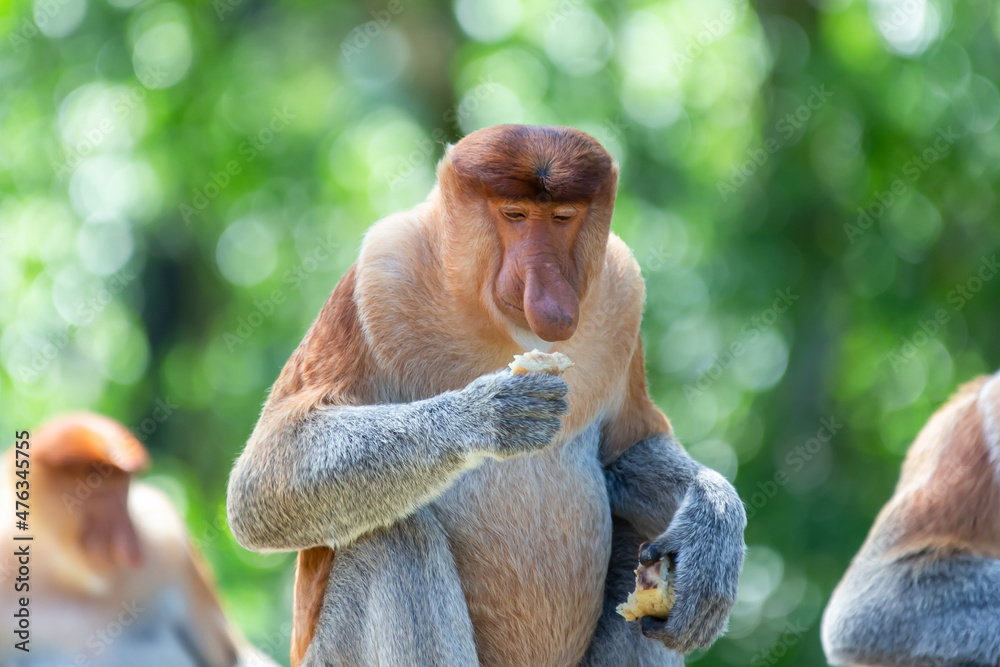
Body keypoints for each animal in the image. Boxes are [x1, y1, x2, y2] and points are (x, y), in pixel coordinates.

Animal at [0, 412, 278, 667]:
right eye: (95, 485)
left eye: (123, 484)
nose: (129, 545)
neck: (72, 579)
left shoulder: (167, 533)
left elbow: (233, 655)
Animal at [226, 124, 747, 666]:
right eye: (514, 214)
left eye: (563, 217)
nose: (547, 293)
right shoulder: (379, 276)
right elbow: (261, 478)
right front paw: (494, 412)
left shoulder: (623, 291)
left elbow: (629, 448)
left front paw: (714, 527)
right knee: (391, 535)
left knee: (632, 537)